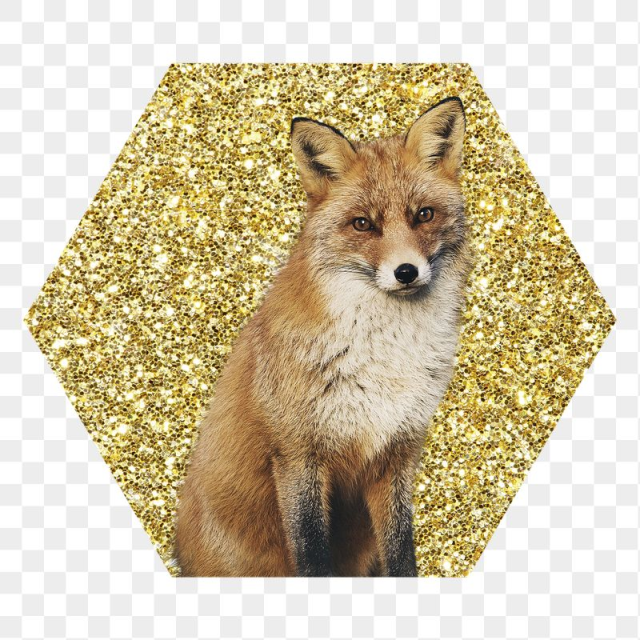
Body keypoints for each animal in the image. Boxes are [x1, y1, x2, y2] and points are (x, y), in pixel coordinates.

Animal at [174, 96, 472, 577]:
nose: (406, 272)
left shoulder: (397, 452)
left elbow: (402, 553)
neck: (385, 357)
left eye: (424, 215)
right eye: (363, 224)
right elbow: (313, 555)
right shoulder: (298, 454)